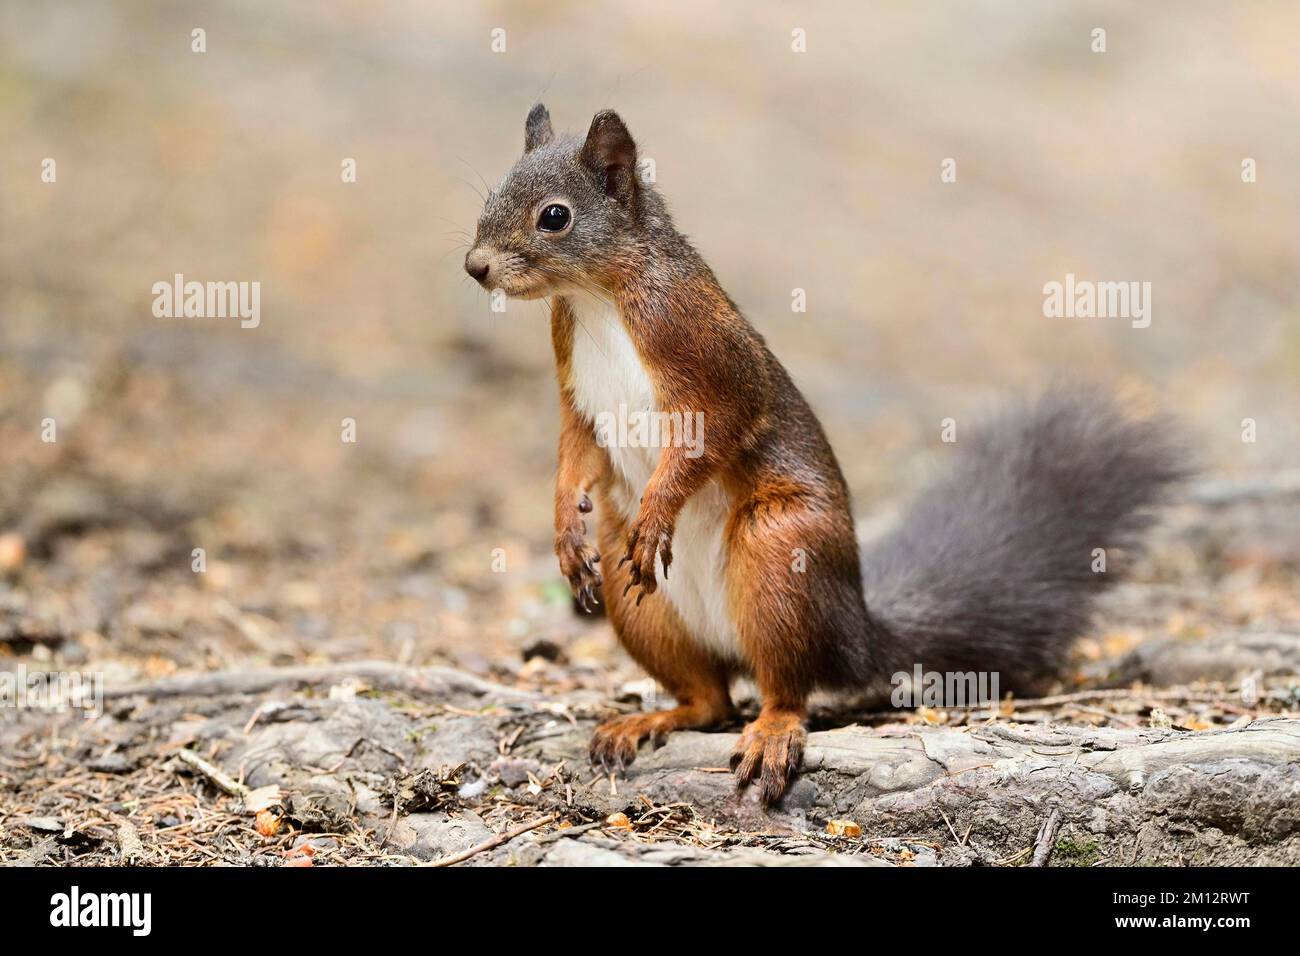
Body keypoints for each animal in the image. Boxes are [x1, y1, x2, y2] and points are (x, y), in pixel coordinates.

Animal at [465, 105, 1187, 804]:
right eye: (493, 192)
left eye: (554, 216)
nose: (475, 267)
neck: (597, 298)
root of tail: (855, 633)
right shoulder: (577, 394)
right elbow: (576, 455)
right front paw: (565, 528)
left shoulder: (708, 357)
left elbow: (714, 432)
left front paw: (659, 511)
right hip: (641, 606)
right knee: (710, 700)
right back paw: (652, 717)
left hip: (779, 554)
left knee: (788, 688)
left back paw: (772, 730)